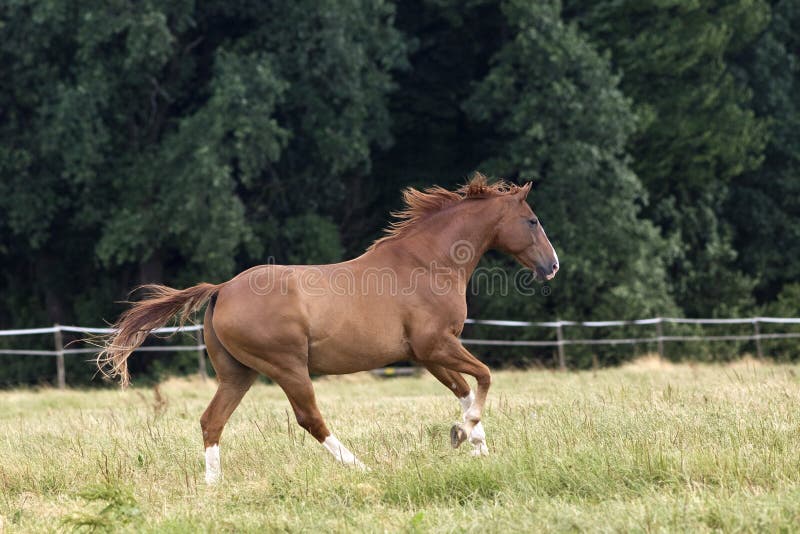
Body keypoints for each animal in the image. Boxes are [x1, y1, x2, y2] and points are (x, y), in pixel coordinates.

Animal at [98, 173, 559, 483]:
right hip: (287, 368)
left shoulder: (426, 354)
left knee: (212, 420)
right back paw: (362, 467)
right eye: (533, 221)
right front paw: (466, 433)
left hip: (237, 374)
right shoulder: (436, 346)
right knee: (310, 419)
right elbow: (484, 377)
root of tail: (221, 290)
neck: (428, 263)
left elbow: (464, 390)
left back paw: (214, 485)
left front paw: (473, 443)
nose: (552, 266)